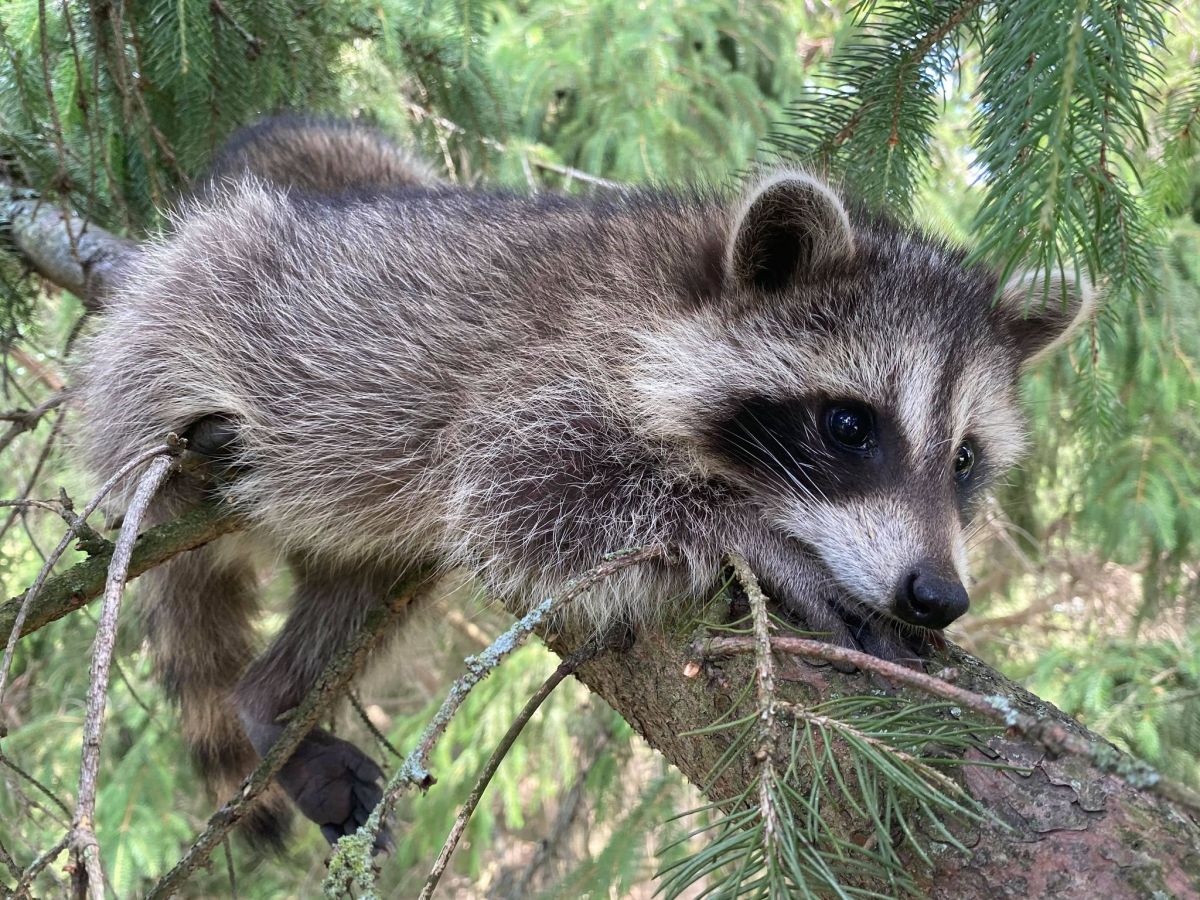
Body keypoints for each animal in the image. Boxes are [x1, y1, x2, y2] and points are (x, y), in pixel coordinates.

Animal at [71, 118, 1093, 848]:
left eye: (964, 460)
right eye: (850, 426)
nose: (938, 596)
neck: (680, 287)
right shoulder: (543, 370)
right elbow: (520, 491)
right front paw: (746, 530)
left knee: (360, 595)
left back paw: (272, 697)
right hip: (187, 315)